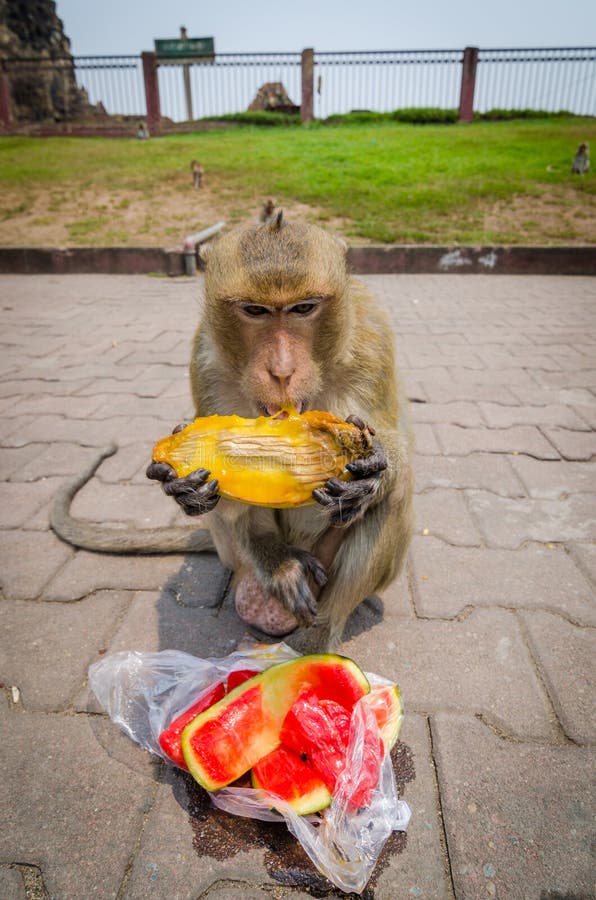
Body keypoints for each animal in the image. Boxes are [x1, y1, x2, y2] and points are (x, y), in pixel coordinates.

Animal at [50, 214, 413, 654]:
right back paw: (278, 562)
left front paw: (373, 467)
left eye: (303, 308)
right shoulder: (204, 356)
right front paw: (185, 487)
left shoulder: (373, 339)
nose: (282, 371)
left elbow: (392, 446)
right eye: (255, 310)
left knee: (395, 494)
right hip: (240, 562)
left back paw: (314, 642)